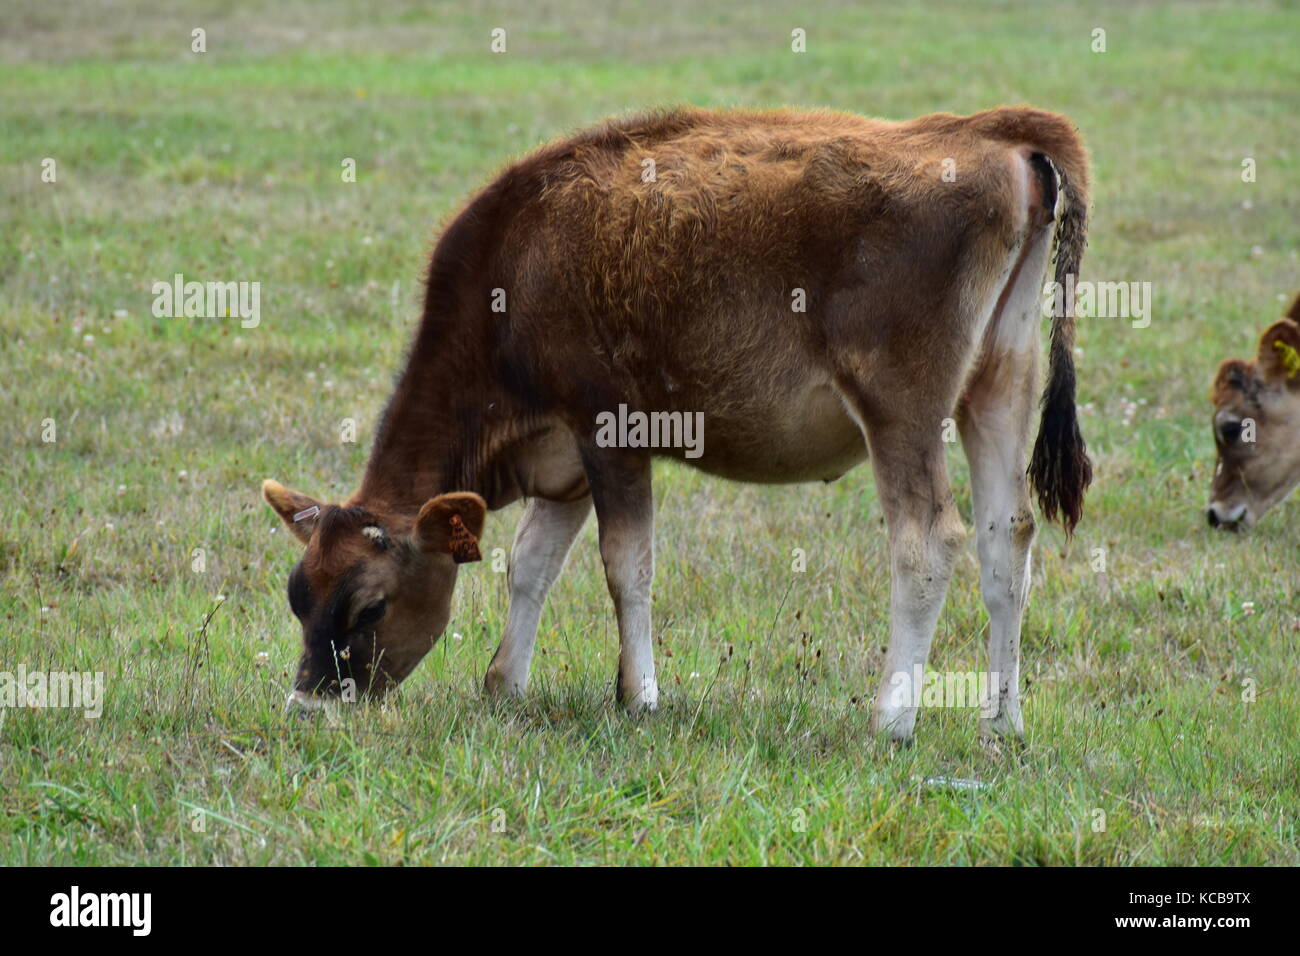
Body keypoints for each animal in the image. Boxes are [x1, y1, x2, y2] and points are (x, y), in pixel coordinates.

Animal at [262, 105, 1093, 742]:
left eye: (369, 605)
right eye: (299, 594)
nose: (305, 705)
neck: (513, 268)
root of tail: (987, 130)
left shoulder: (609, 427)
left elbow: (625, 563)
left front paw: (639, 697)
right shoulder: (563, 462)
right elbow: (531, 563)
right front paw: (505, 683)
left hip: (902, 404)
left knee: (928, 542)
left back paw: (891, 723)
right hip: (999, 384)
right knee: (1007, 540)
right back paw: (1002, 723)